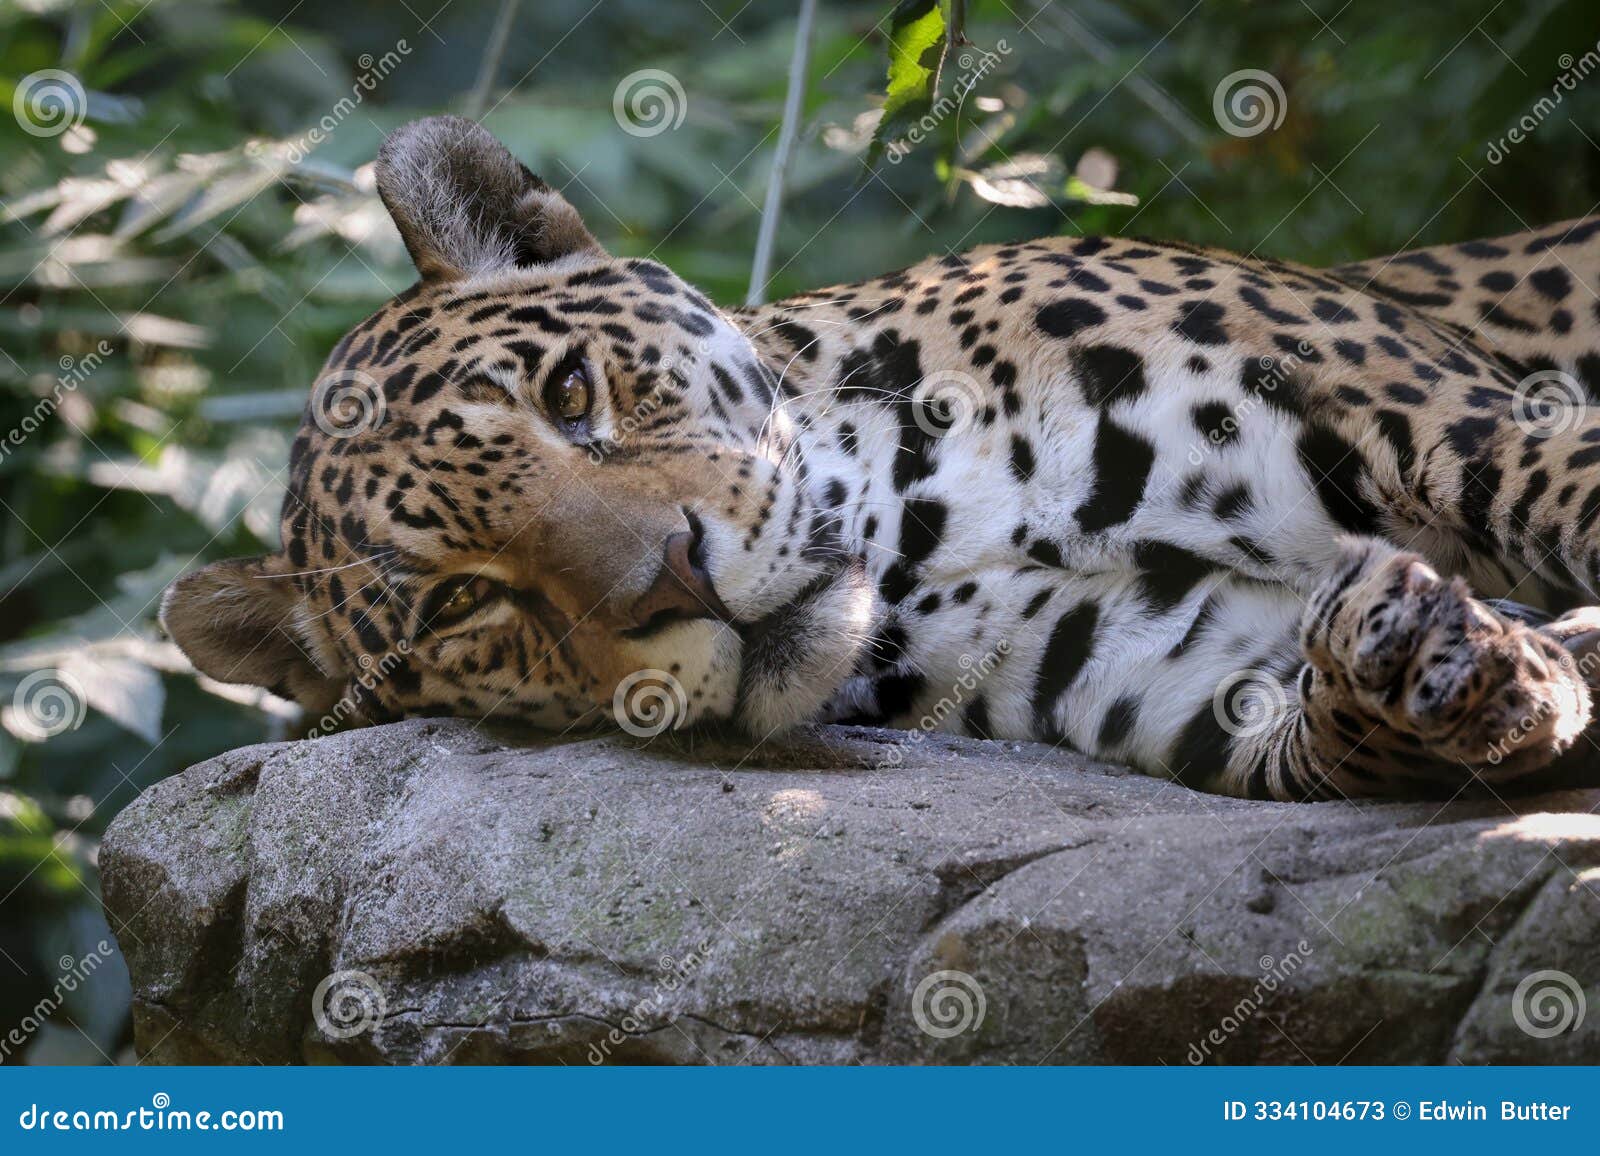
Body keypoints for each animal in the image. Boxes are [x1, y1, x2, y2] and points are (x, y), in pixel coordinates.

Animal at [162, 115, 1600, 802]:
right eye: (465, 601)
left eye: (570, 393)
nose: (675, 581)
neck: (919, 528)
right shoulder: (1167, 663)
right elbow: (1327, 740)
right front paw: (1432, 669)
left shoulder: (1431, 412)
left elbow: (1558, 484)